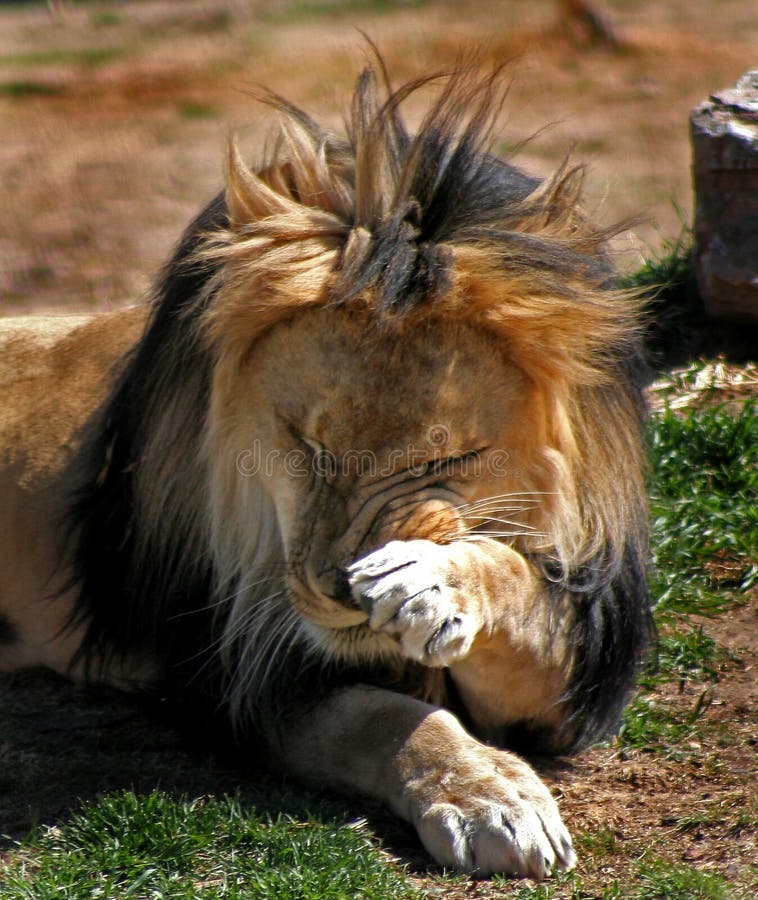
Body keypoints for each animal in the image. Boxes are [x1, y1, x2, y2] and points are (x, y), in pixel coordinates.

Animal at [0, 64, 653, 879]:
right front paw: (490, 797)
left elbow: (513, 581)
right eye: (306, 445)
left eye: (446, 459)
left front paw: (434, 582)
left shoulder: (569, 680)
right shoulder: (235, 676)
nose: (340, 590)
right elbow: (387, 718)